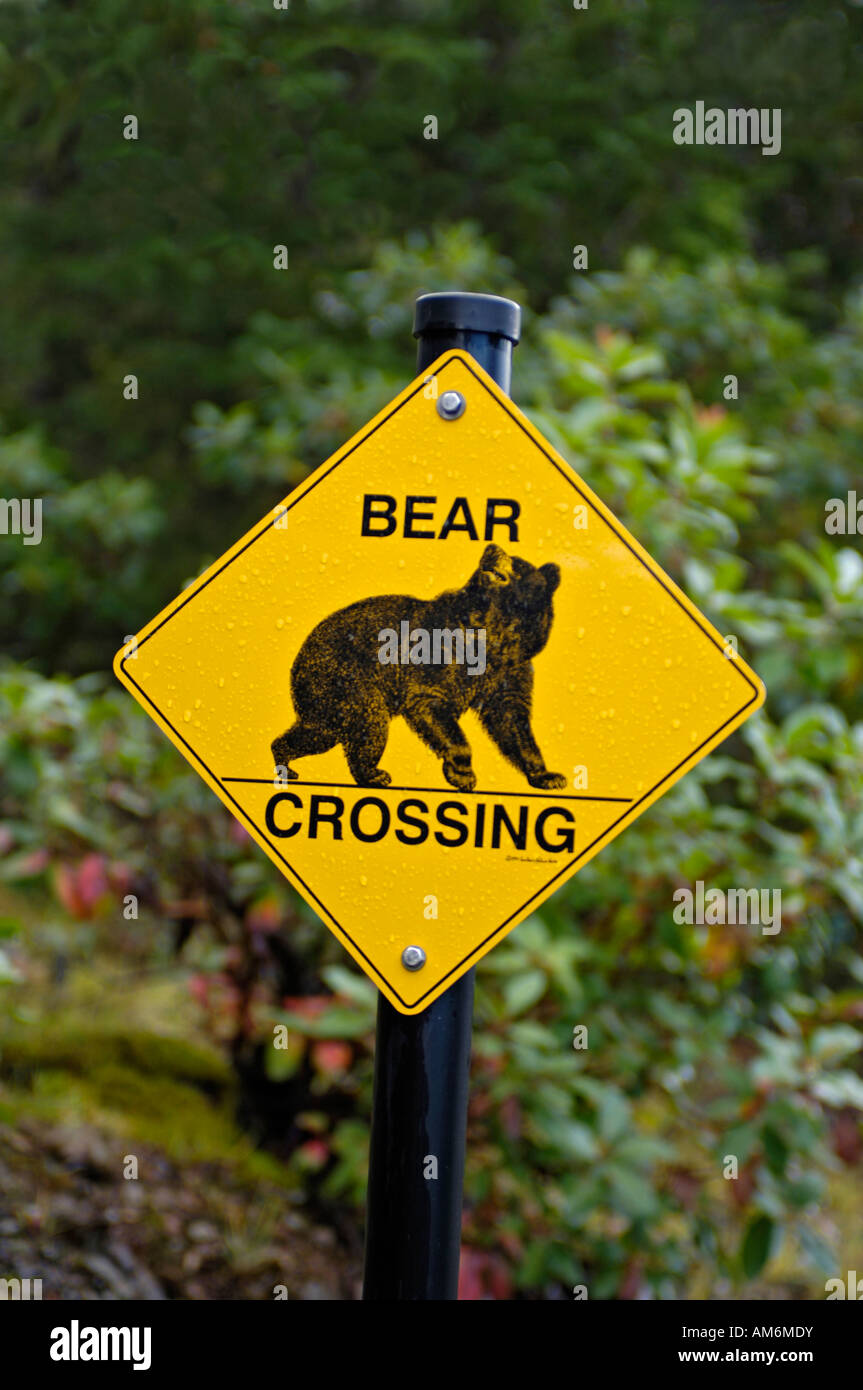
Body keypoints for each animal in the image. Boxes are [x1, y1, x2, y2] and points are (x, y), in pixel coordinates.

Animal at [270, 543, 566, 793]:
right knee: (364, 724)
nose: (490, 547)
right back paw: (371, 774)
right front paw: (462, 774)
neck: (490, 639)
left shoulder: (510, 670)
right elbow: (430, 703)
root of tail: (299, 657)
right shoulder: (436, 656)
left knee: (322, 730)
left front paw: (548, 776)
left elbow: (512, 722)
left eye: (516, 561)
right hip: (342, 678)